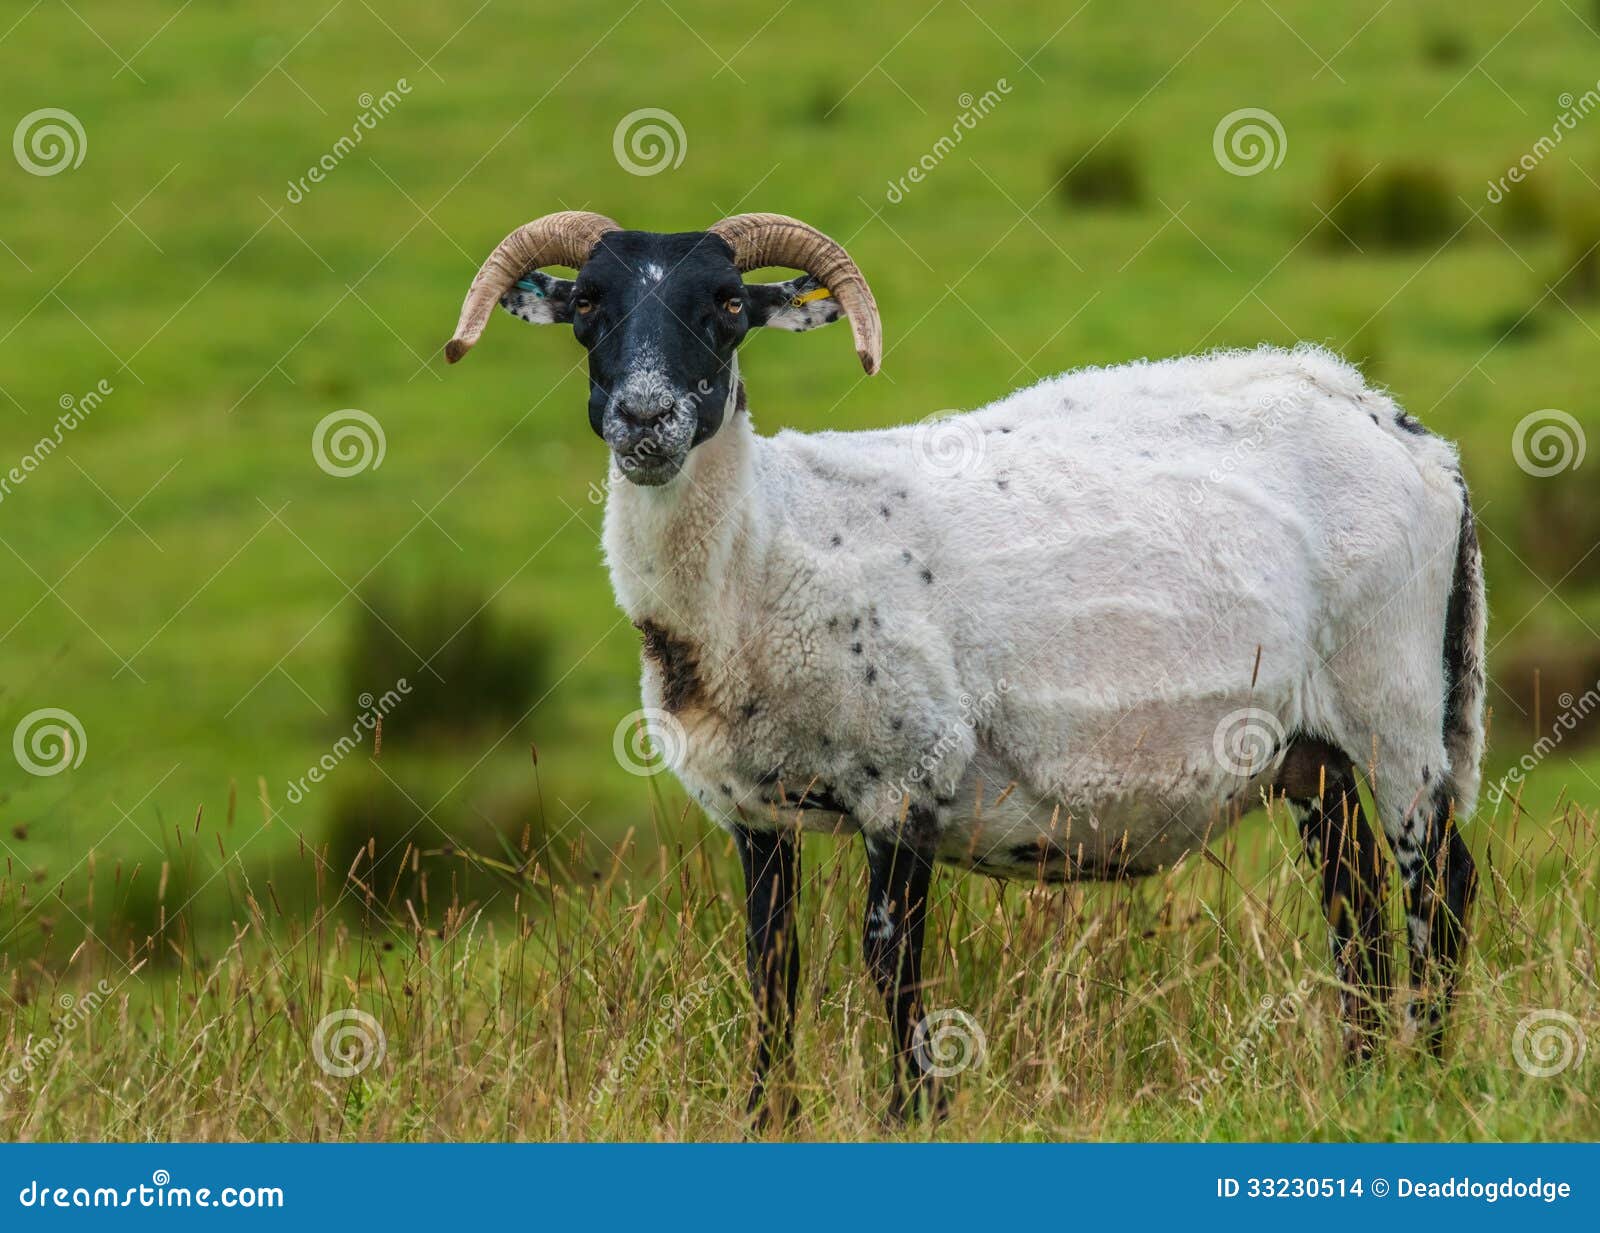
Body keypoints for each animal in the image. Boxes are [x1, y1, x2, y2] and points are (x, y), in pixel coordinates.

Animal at [445, 211, 1486, 1123]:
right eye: (587, 302)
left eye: (730, 304)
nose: (647, 417)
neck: (766, 551)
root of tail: (1396, 422)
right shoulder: (752, 810)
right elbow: (771, 966)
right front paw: (766, 1118)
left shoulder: (905, 777)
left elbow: (888, 959)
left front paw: (913, 1113)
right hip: (1310, 752)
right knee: (1355, 904)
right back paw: (1362, 1078)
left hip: (1395, 704)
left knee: (1439, 884)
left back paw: (1430, 1076)